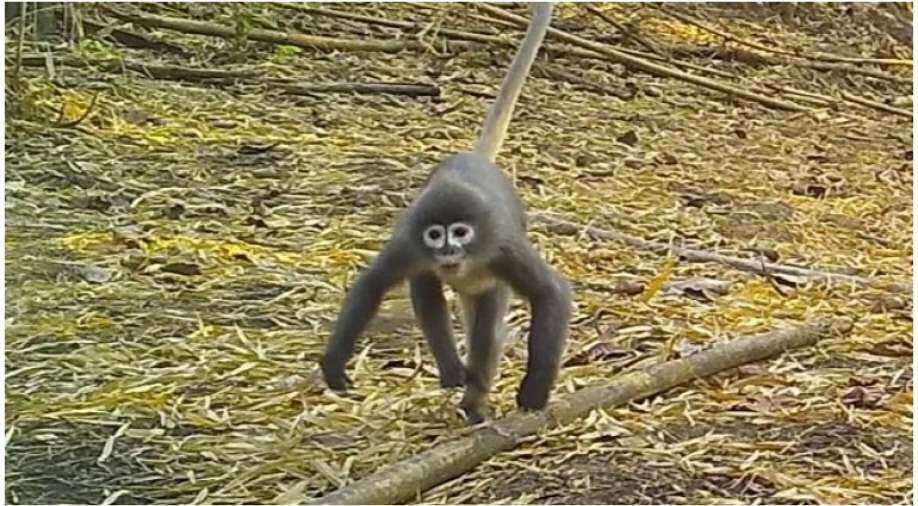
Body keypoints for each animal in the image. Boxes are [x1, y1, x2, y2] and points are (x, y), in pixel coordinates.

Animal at [320, 3, 569, 424]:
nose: (448, 251)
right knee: (426, 289)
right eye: (436, 235)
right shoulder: (409, 242)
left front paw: (534, 391)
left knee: (486, 333)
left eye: (461, 233)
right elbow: (372, 285)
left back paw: (475, 399)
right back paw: (454, 373)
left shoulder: (501, 246)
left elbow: (551, 293)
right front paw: (335, 363)